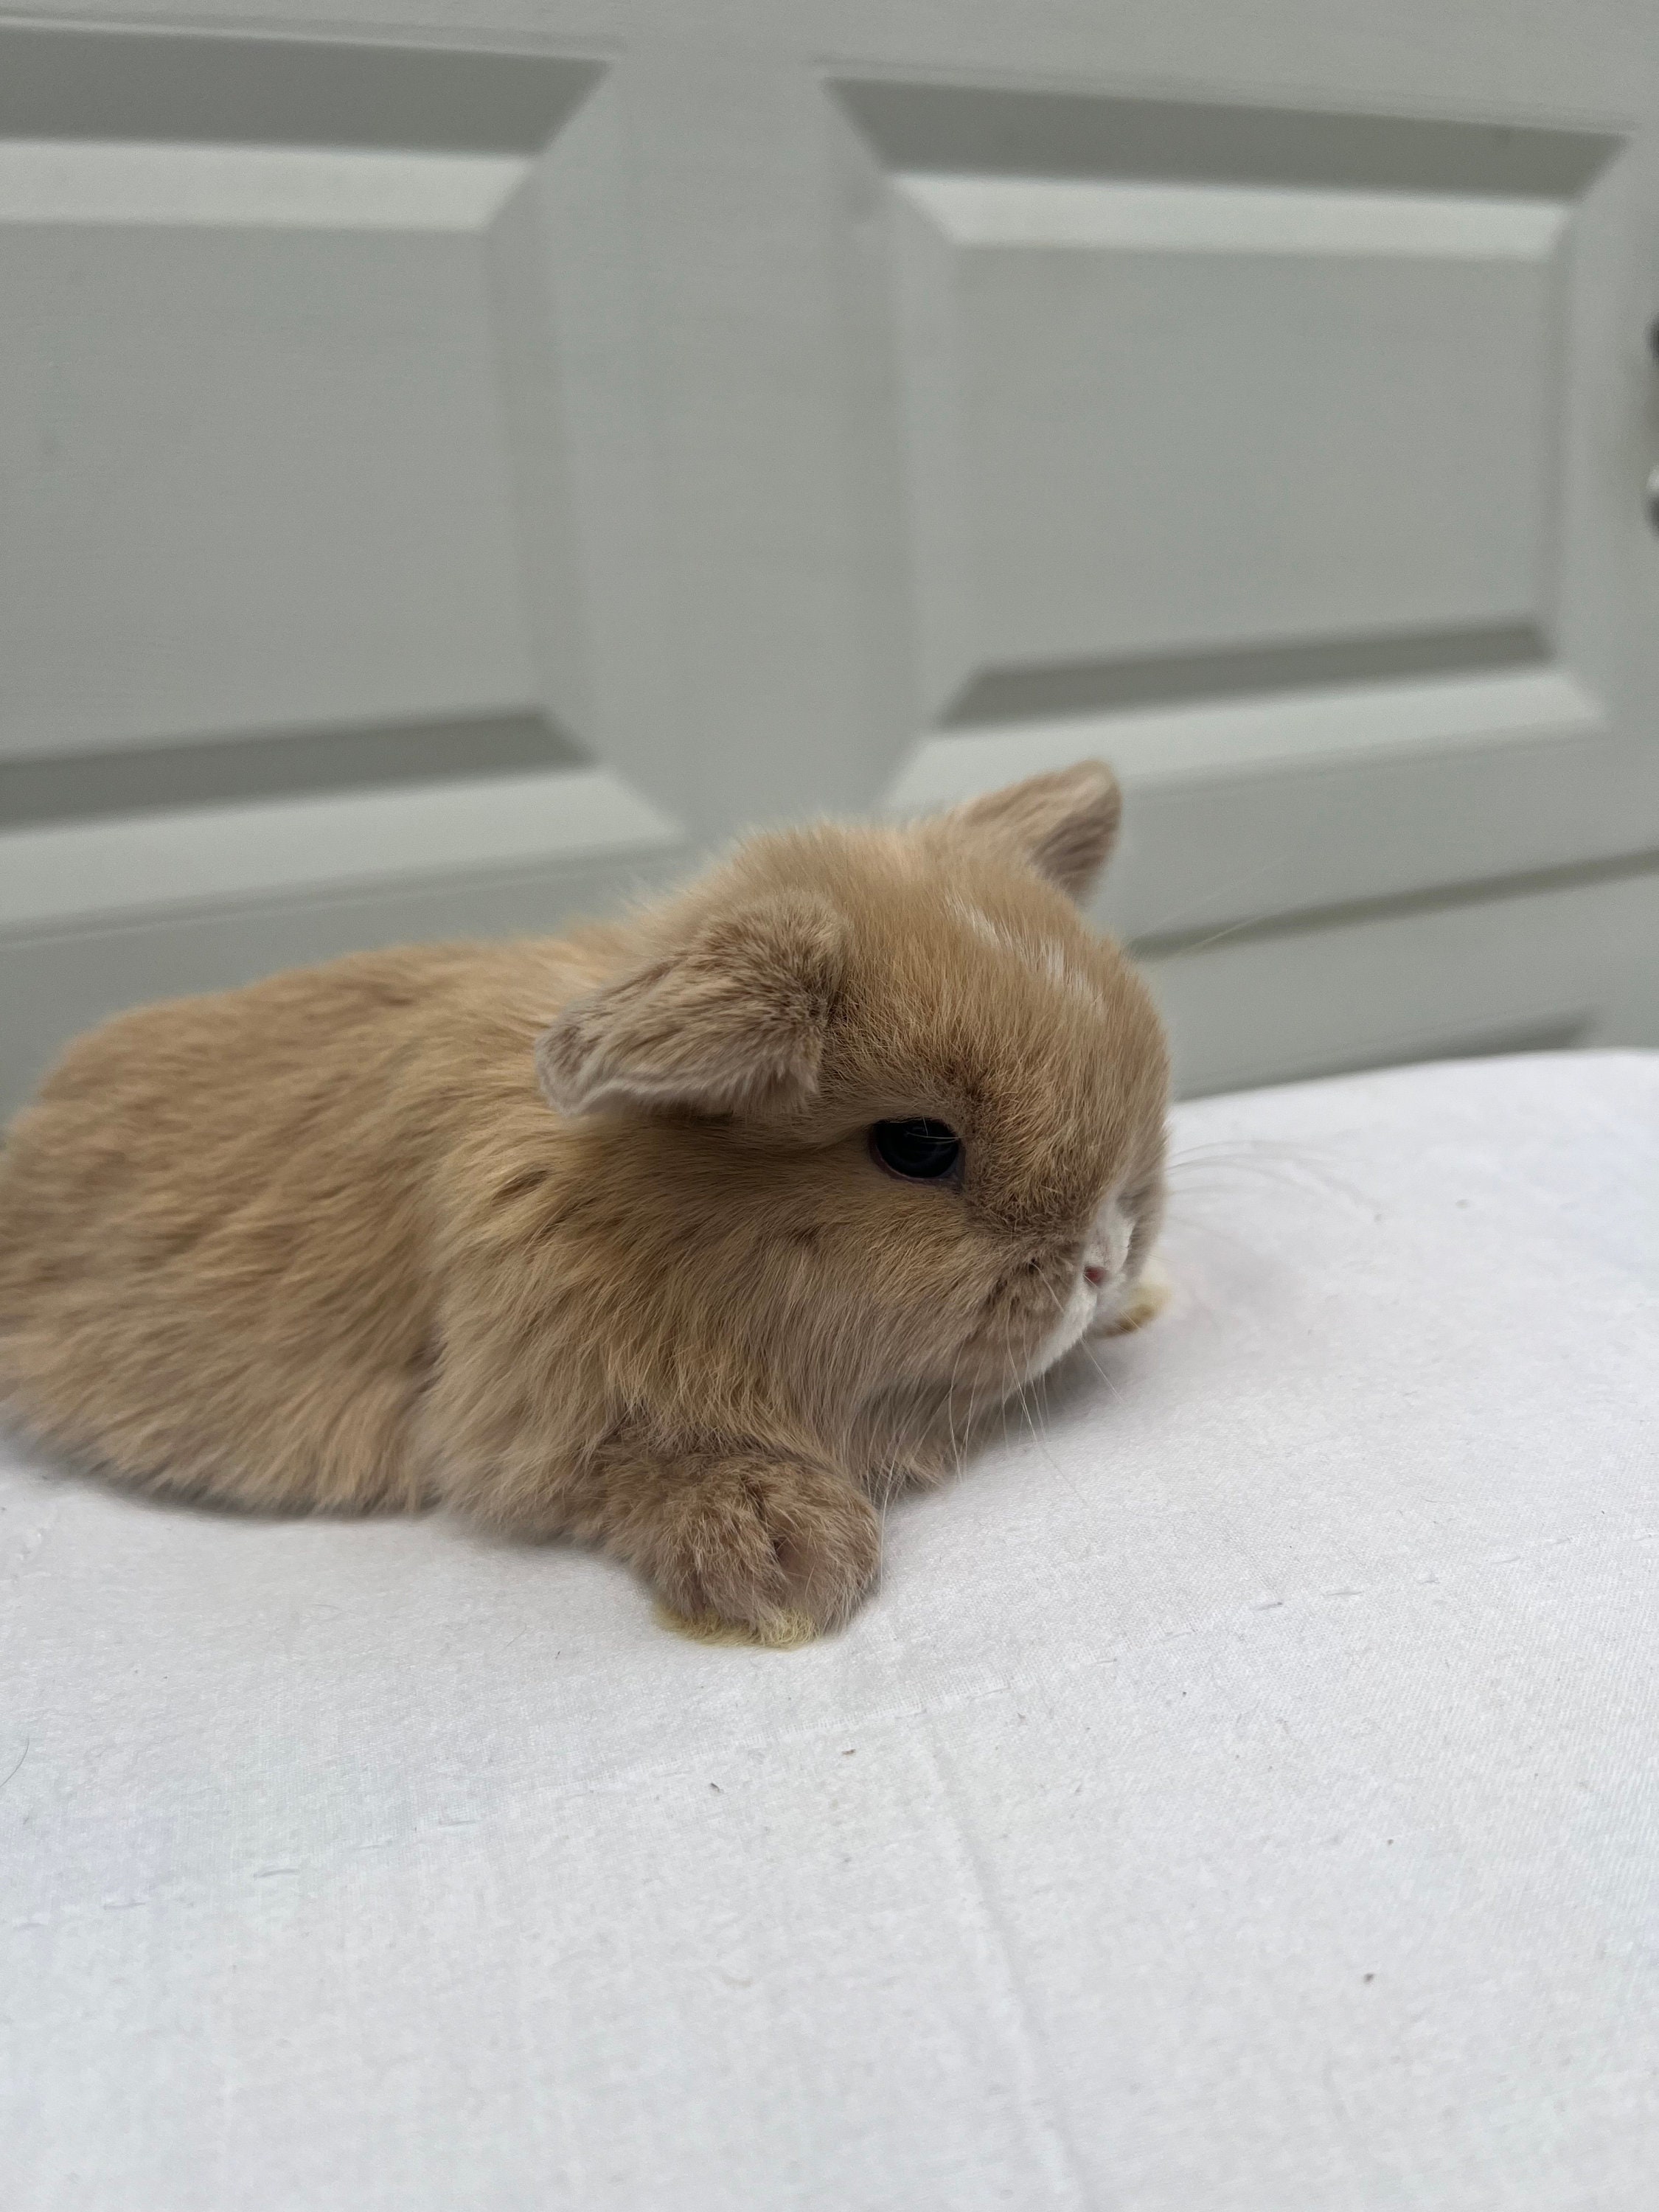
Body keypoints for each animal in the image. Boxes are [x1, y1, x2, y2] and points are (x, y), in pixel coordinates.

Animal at [0, 762, 1170, 1641]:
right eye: (917, 1146)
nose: (1106, 1256)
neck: (655, 1217)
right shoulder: (523, 1419)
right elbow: (623, 1469)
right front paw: (793, 1559)